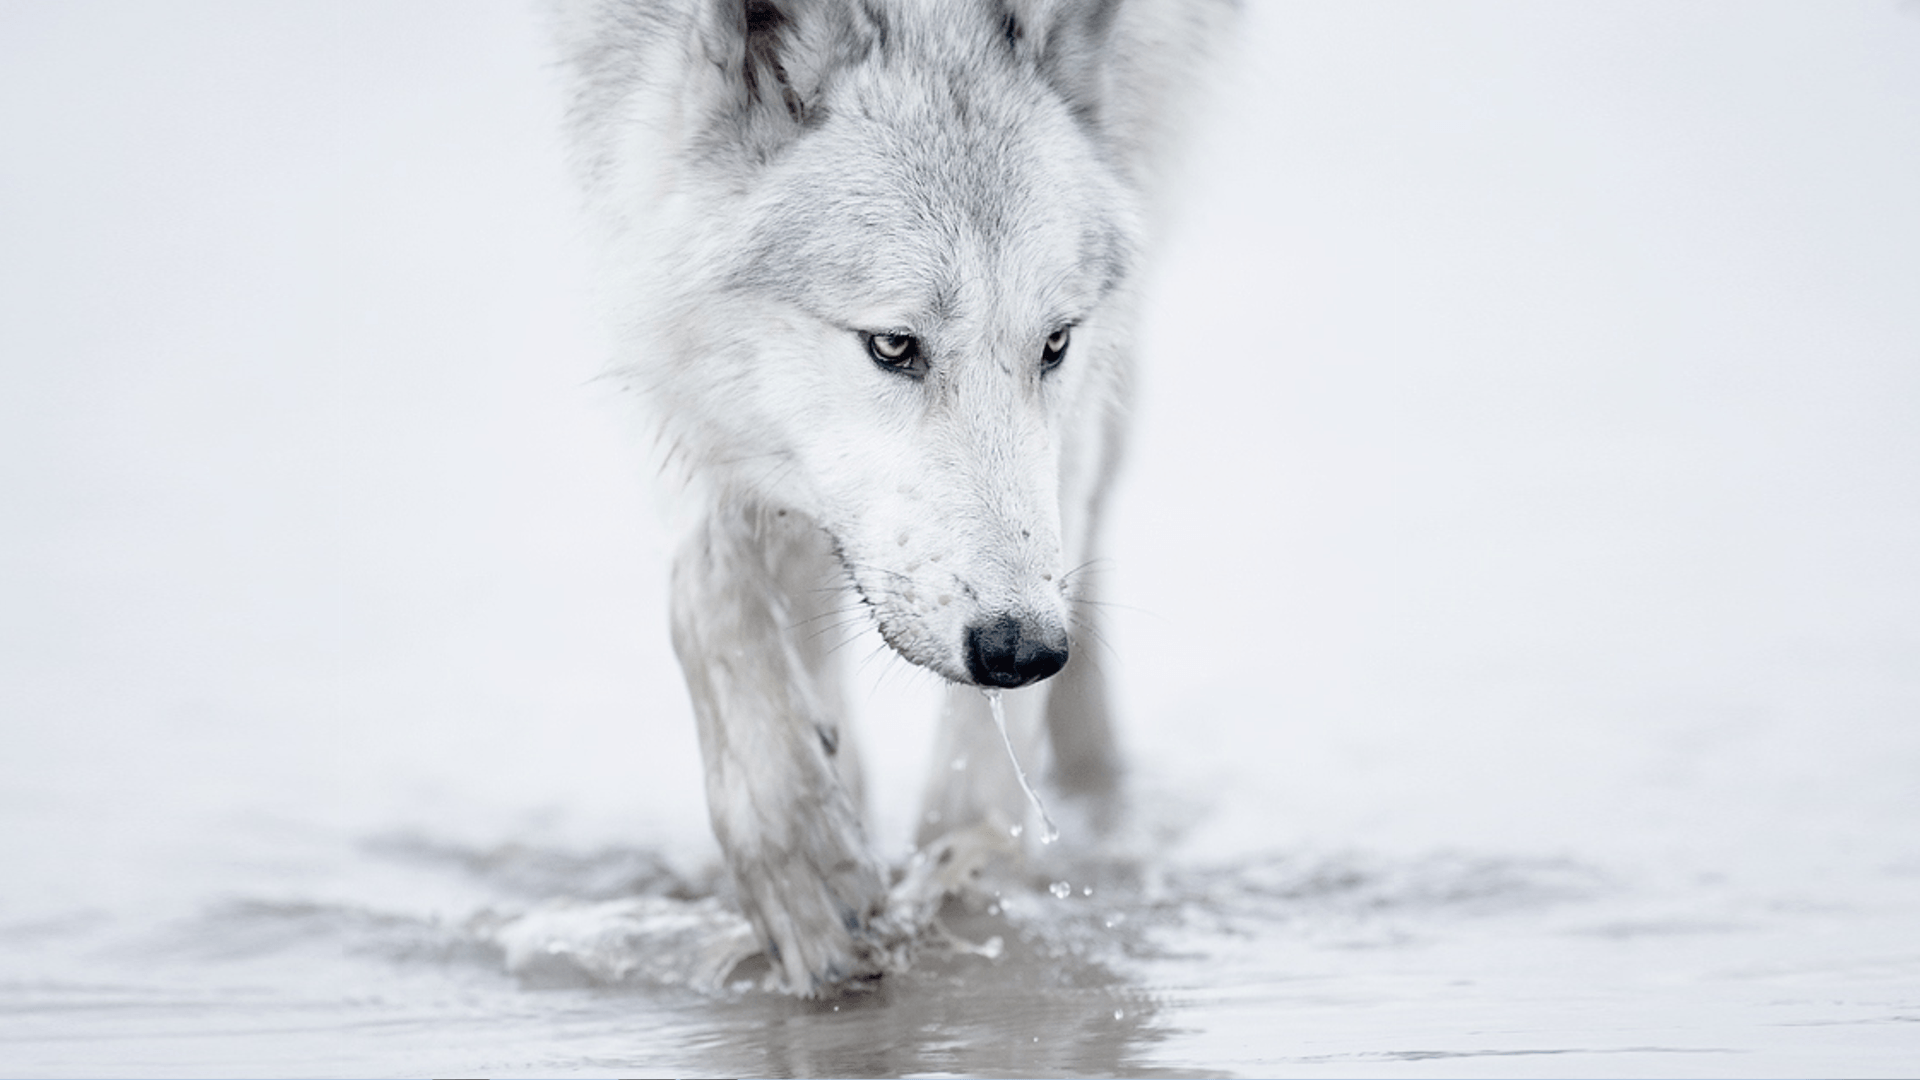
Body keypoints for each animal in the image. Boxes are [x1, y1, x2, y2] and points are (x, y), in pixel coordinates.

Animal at [553, 0, 1231, 996]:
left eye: (1055, 343)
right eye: (893, 346)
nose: (1024, 649)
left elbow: (977, 770)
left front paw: (963, 885)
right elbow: (709, 586)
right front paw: (804, 861)